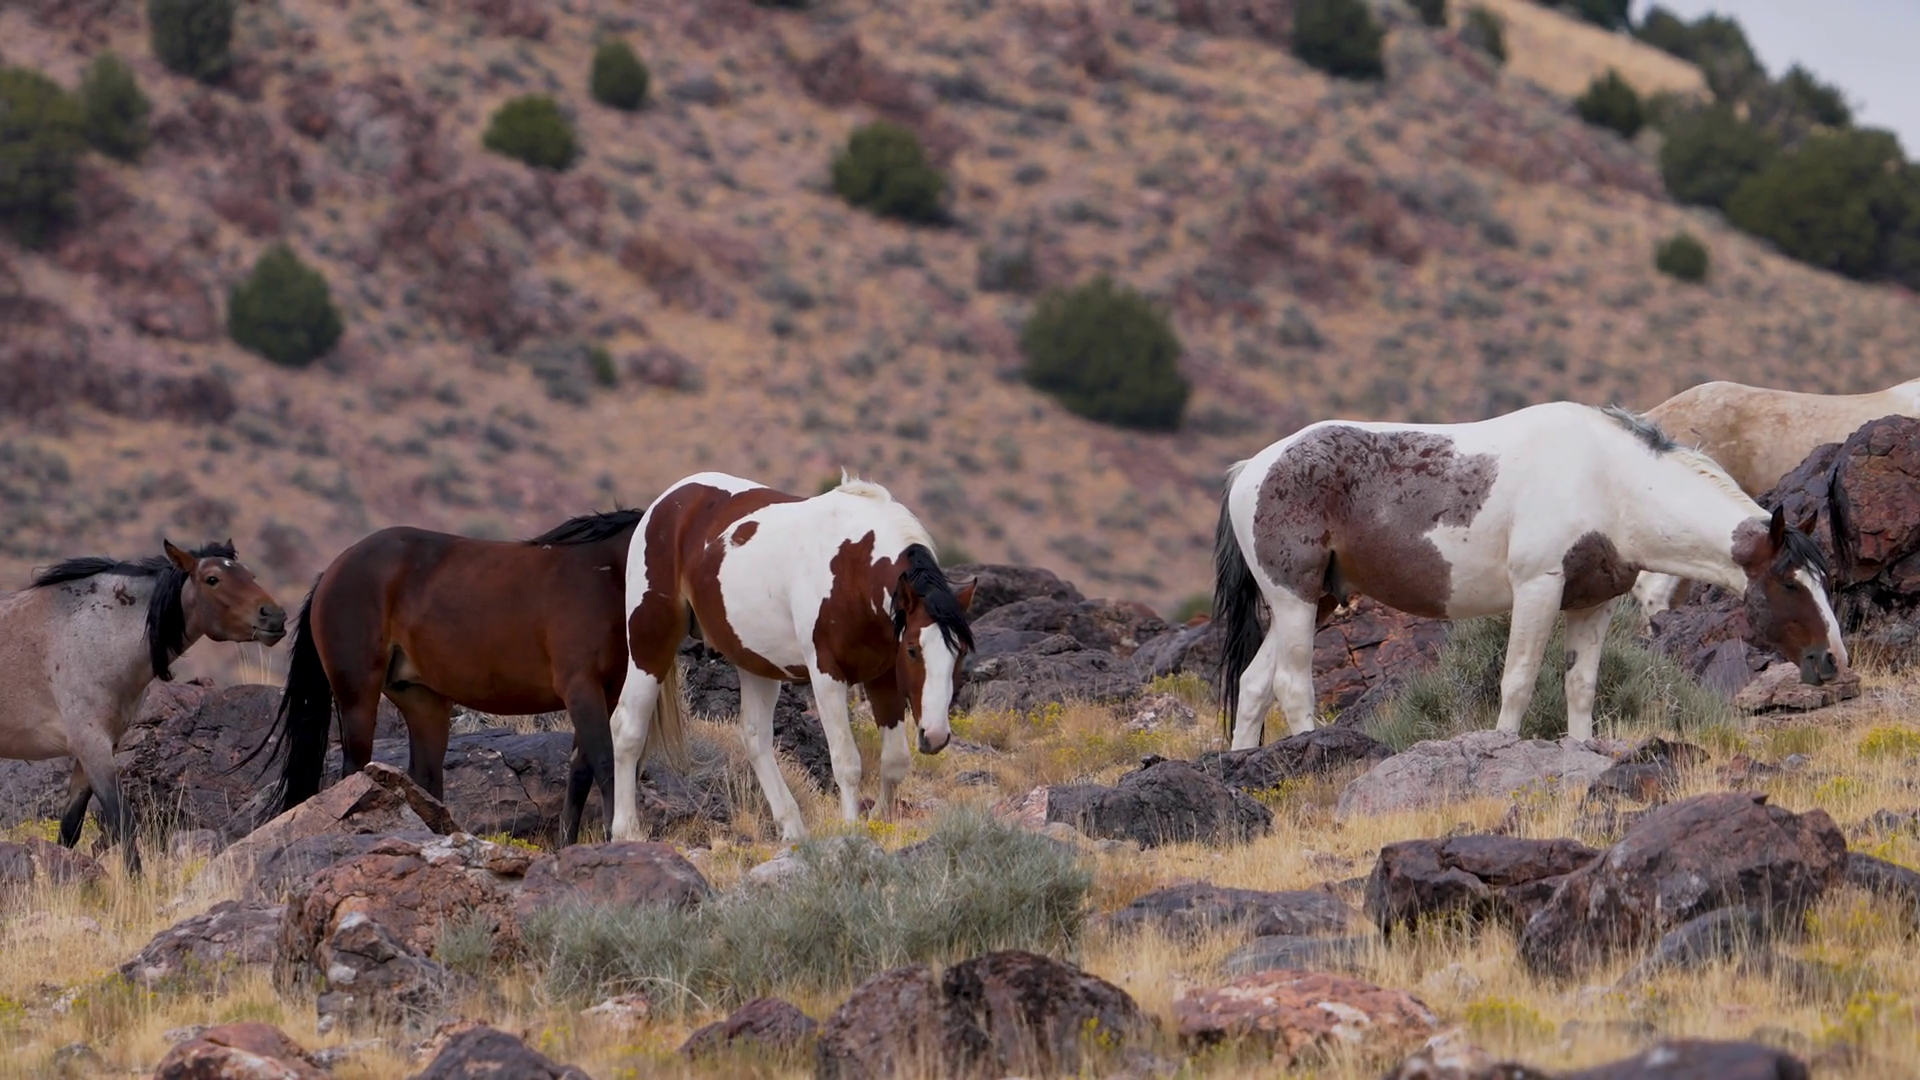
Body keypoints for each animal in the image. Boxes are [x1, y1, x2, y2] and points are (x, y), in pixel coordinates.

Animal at [0, 540, 285, 872]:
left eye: (250, 575)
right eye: (212, 579)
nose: (275, 616)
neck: (93, 635)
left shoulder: (97, 749)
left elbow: (70, 828)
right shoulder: (91, 745)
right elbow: (122, 821)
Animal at [270, 510, 650, 843]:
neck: (606, 575)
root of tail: (332, 572)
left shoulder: (605, 692)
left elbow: (581, 772)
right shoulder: (581, 688)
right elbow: (606, 762)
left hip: (424, 702)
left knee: (424, 779)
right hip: (359, 699)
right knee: (356, 771)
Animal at [606, 472, 975, 843]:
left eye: (959, 652)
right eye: (913, 649)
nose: (935, 736)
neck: (852, 567)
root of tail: (667, 502)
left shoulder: (883, 675)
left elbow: (895, 761)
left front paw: (878, 821)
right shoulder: (828, 675)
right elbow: (847, 762)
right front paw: (852, 831)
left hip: (755, 661)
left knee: (755, 739)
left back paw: (792, 827)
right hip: (650, 640)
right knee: (627, 726)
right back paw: (626, 831)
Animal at [1212, 403, 1847, 747]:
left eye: (1823, 580)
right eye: (1790, 583)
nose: (1833, 660)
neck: (1609, 481)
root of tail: (1252, 469)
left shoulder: (1593, 604)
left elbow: (1580, 686)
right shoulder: (1539, 588)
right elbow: (1517, 680)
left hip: (1313, 602)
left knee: (1254, 684)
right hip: (1294, 600)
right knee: (1292, 686)